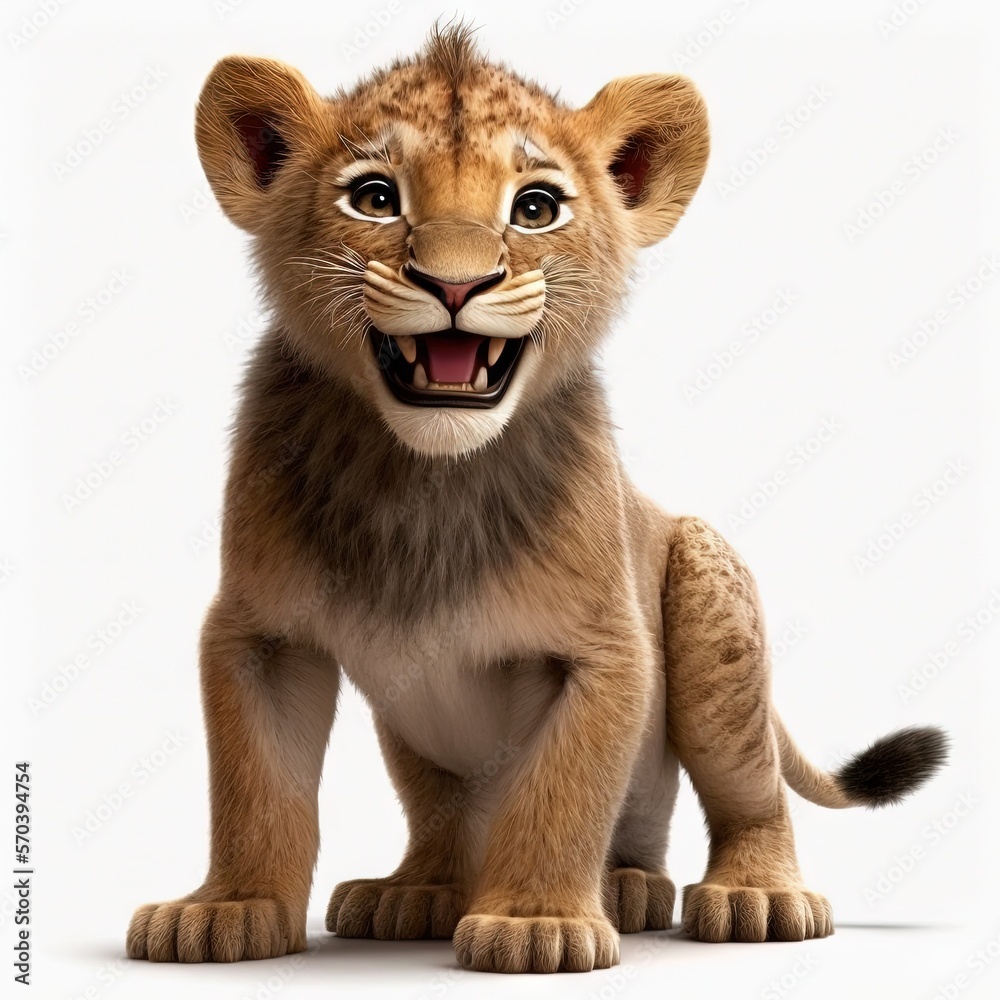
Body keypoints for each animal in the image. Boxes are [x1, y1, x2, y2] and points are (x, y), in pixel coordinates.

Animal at [126, 25, 947, 974]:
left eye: (535, 207)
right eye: (375, 197)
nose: (454, 286)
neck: (427, 483)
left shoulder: (601, 649)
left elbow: (560, 794)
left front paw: (535, 921)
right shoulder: (258, 634)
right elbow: (254, 787)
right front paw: (227, 907)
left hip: (712, 613)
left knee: (748, 795)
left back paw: (734, 896)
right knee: (443, 814)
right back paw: (421, 891)